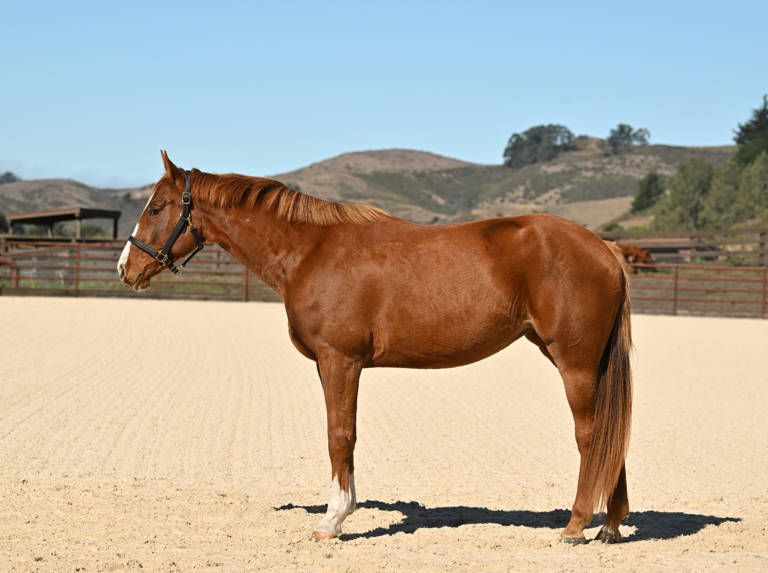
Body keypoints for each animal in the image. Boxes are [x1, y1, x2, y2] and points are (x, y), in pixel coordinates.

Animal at [118, 151, 632, 544]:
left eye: (157, 207)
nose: (126, 267)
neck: (311, 250)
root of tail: (604, 249)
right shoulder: (330, 365)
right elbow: (341, 434)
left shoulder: (340, 360)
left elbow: (339, 435)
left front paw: (333, 520)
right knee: (612, 432)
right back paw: (609, 526)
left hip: (575, 362)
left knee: (591, 435)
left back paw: (576, 527)